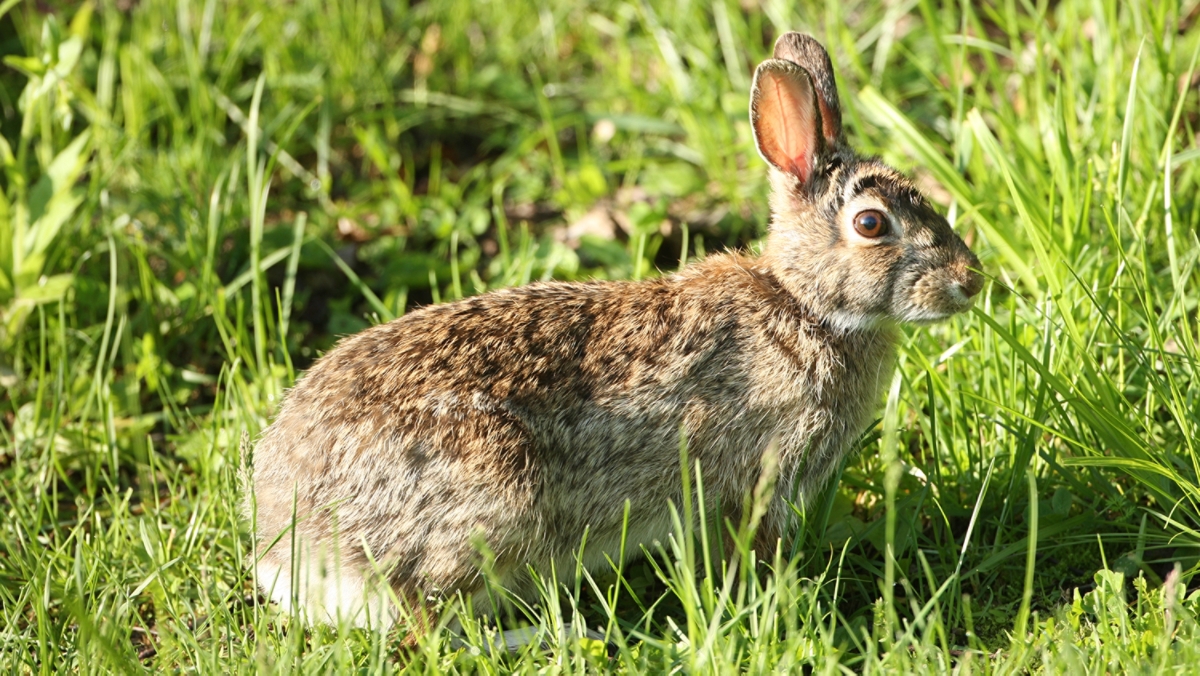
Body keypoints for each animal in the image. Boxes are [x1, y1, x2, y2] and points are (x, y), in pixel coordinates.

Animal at [245, 32, 983, 647]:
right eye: (871, 224)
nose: (970, 281)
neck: (804, 304)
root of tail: (294, 547)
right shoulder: (761, 477)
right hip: (492, 509)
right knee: (430, 625)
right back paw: (559, 634)